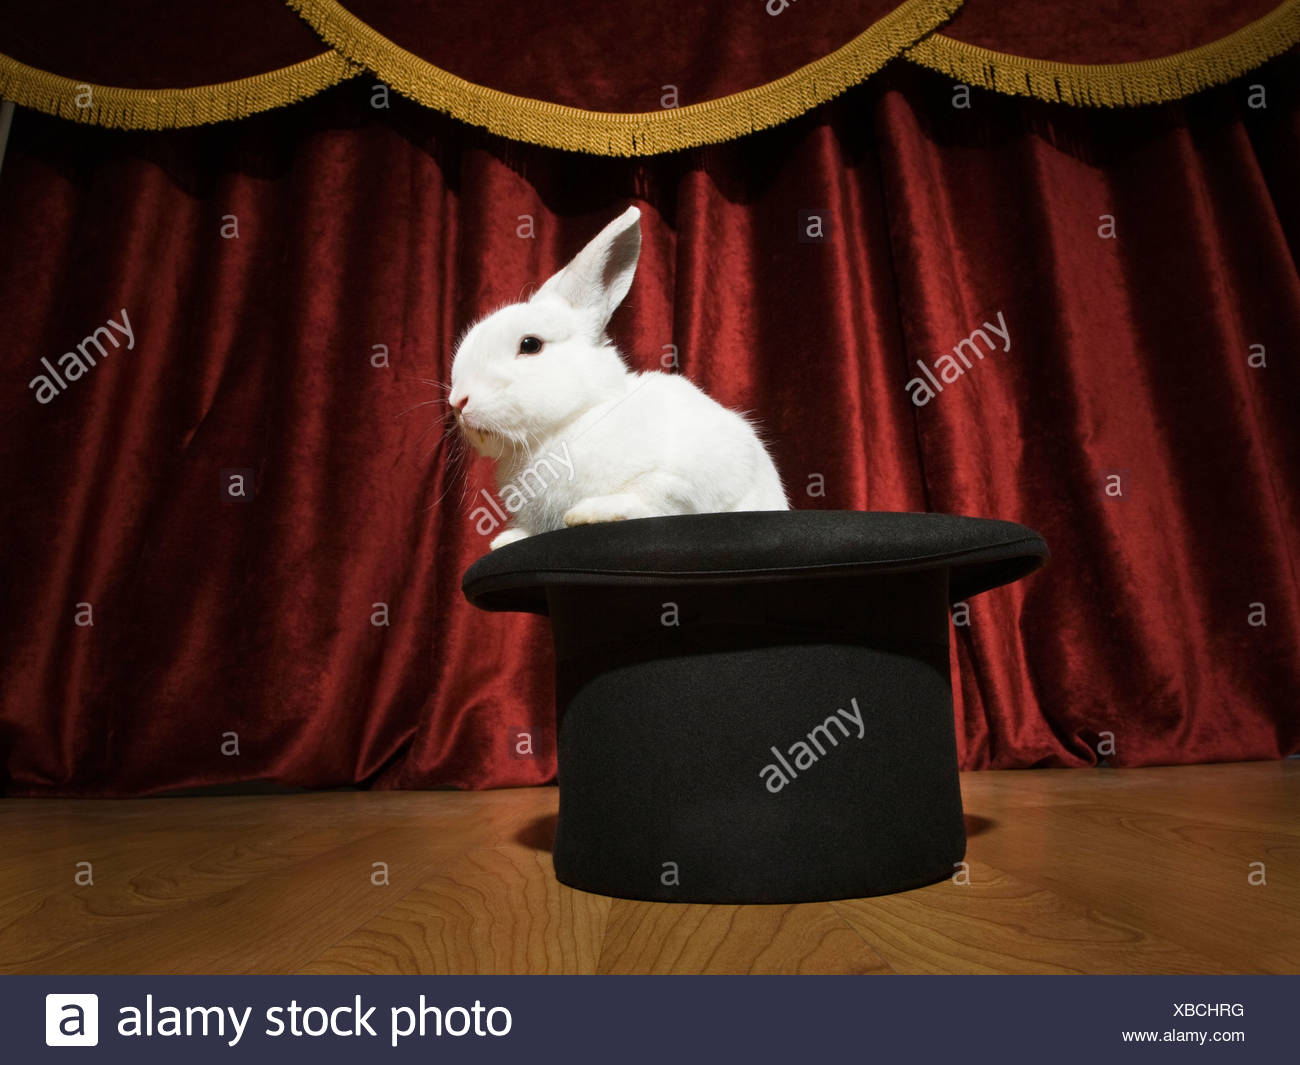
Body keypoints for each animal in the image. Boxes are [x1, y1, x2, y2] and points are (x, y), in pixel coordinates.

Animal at [448, 206, 788, 551]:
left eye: (530, 345)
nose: (457, 401)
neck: (573, 421)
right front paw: (507, 539)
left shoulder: (688, 477)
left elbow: (651, 499)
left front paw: (590, 512)